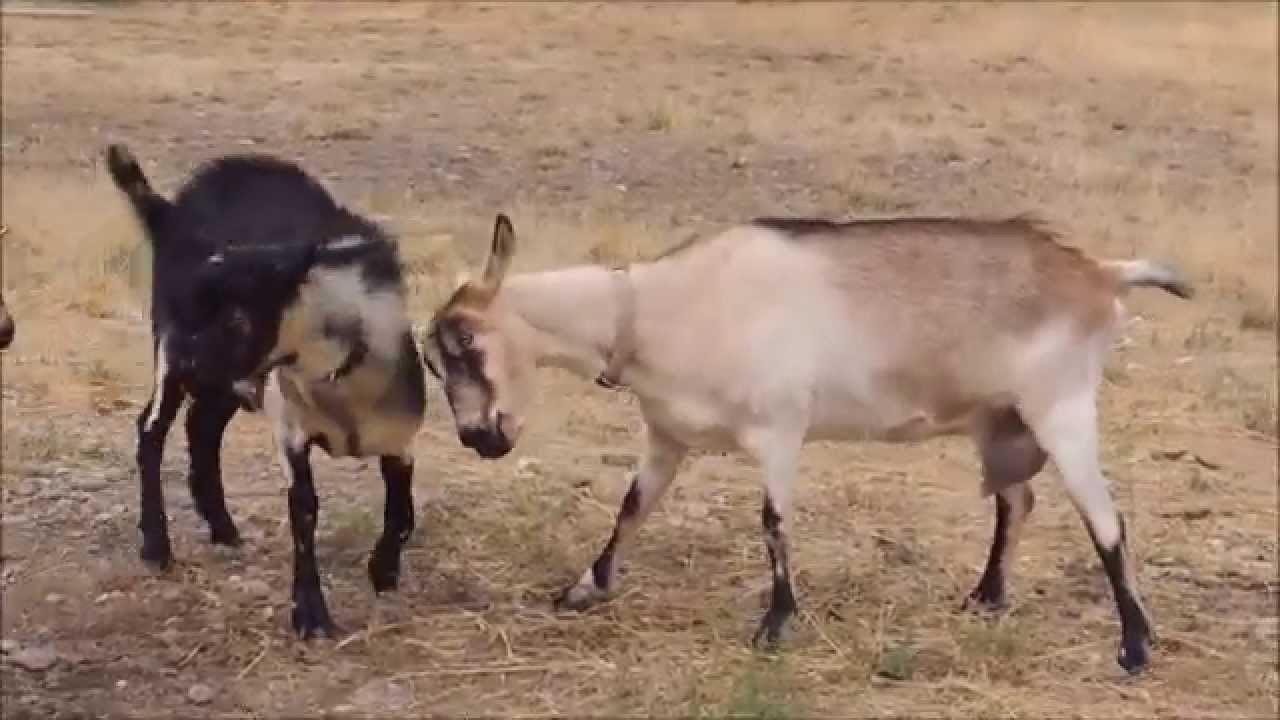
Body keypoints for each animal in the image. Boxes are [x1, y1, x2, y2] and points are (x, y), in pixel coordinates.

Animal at [105, 144, 427, 639]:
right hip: (175, 365)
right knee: (152, 431)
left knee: (202, 428)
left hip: (224, 382)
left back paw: (221, 526)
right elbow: (304, 511)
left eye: (237, 317)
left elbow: (403, 510)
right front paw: (311, 616)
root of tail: (169, 211)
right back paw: (157, 546)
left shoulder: (397, 435)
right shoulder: (291, 430)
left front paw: (384, 571)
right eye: (195, 307)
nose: (188, 357)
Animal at [422, 212, 1193, 675]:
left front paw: (776, 624)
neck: (652, 310)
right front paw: (585, 587)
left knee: (1107, 521)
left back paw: (1134, 647)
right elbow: (632, 507)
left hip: (1061, 409)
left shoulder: (779, 427)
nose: (479, 438)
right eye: (434, 361)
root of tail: (1099, 272)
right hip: (1002, 420)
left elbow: (772, 523)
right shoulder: (667, 434)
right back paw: (987, 598)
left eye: (467, 347)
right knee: (1018, 502)